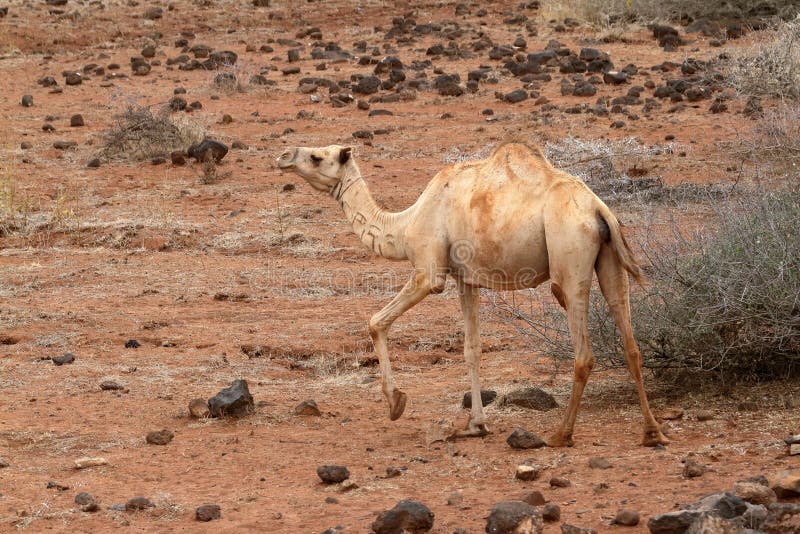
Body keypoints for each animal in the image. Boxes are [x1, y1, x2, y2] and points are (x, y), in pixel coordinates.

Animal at [276, 141, 668, 447]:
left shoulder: (430, 272)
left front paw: (395, 402)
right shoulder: (467, 279)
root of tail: (598, 209)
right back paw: (652, 433)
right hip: (610, 259)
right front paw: (477, 426)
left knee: (584, 352)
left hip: (569, 261)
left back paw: (561, 434)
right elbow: (472, 349)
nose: (282, 156)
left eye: (316, 156)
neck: (405, 224)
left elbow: (376, 321)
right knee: (630, 342)